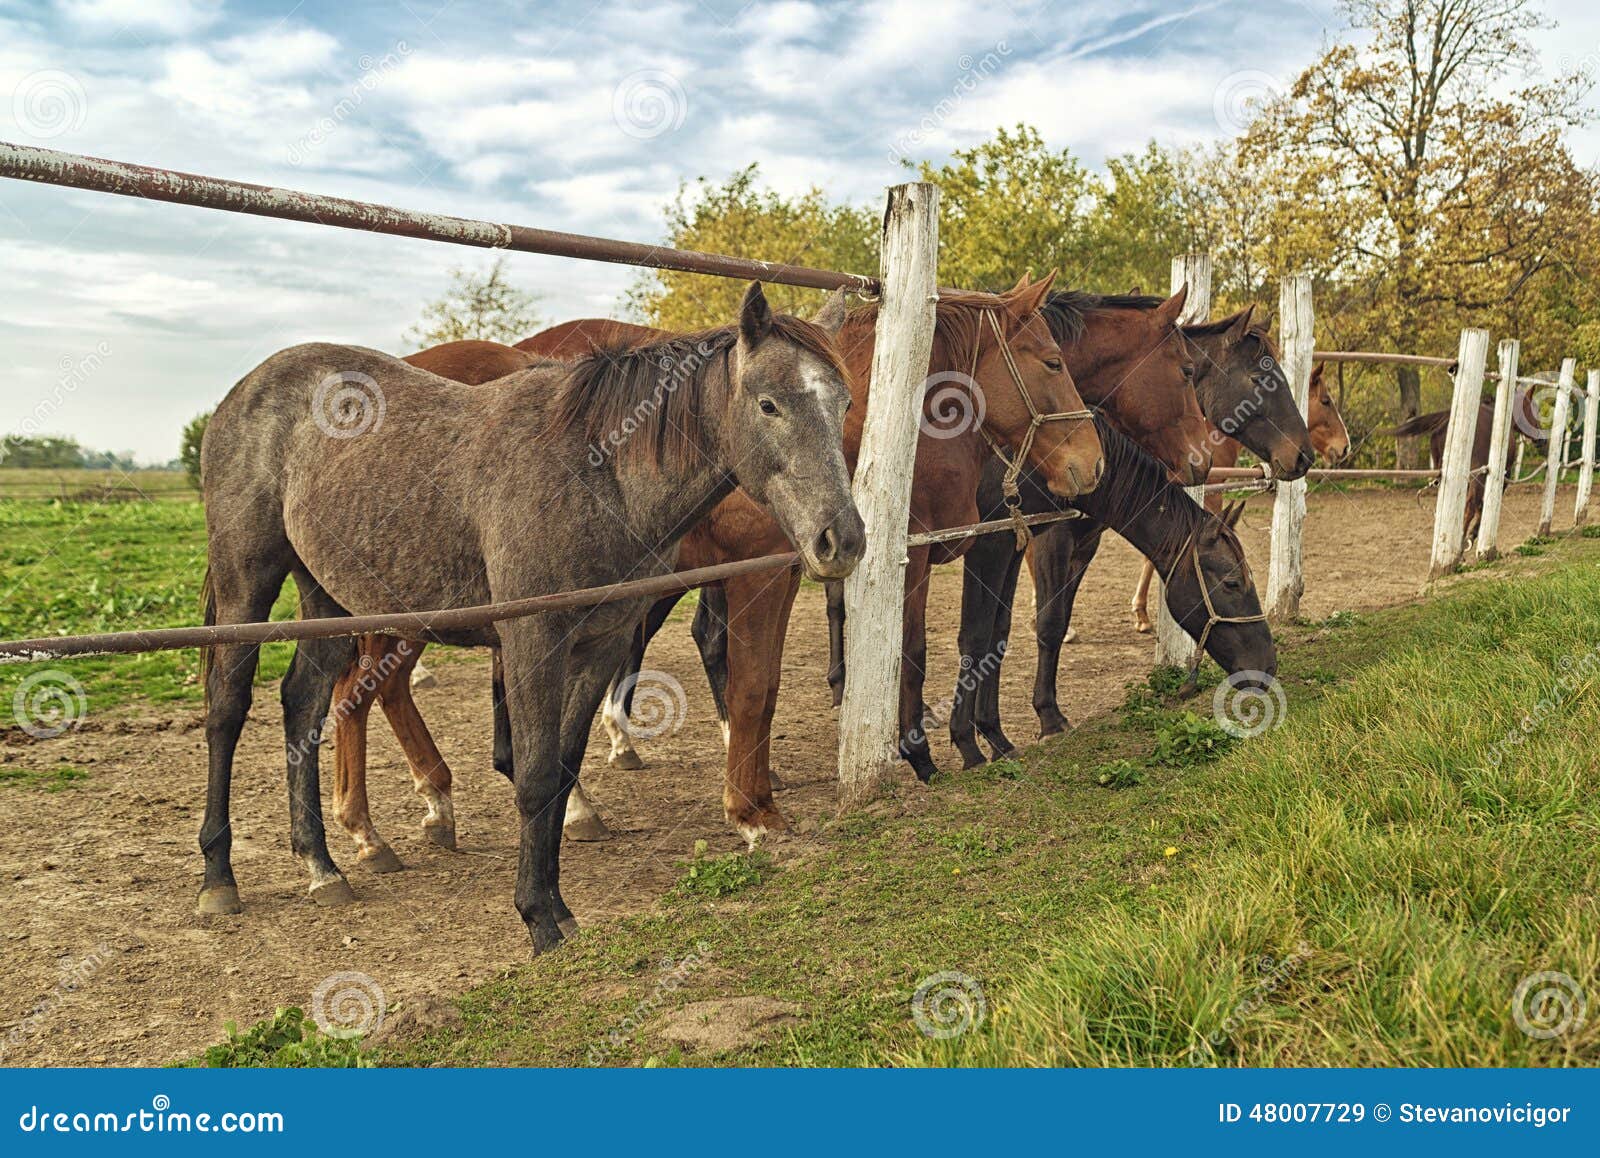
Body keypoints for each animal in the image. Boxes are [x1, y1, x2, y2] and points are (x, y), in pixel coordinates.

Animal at [196, 283, 865, 954]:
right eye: (769, 404)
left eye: (844, 402)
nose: (842, 539)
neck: (597, 474)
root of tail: (245, 389)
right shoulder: (532, 640)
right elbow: (537, 774)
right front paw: (538, 917)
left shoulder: (602, 643)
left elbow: (564, 769)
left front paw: (559, 906)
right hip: (248, 582)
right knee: (229, 707)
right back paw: (219, 877)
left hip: (330, 598)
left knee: (304, 701)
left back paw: (322, 864)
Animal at [945, 413, 1278, 769]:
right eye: (1232, 583)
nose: (1268, 665)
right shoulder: (998, 542)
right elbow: (982, 635)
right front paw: (972, 744)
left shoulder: (1017, 542)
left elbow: (1001, 632)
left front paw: (997, 735)